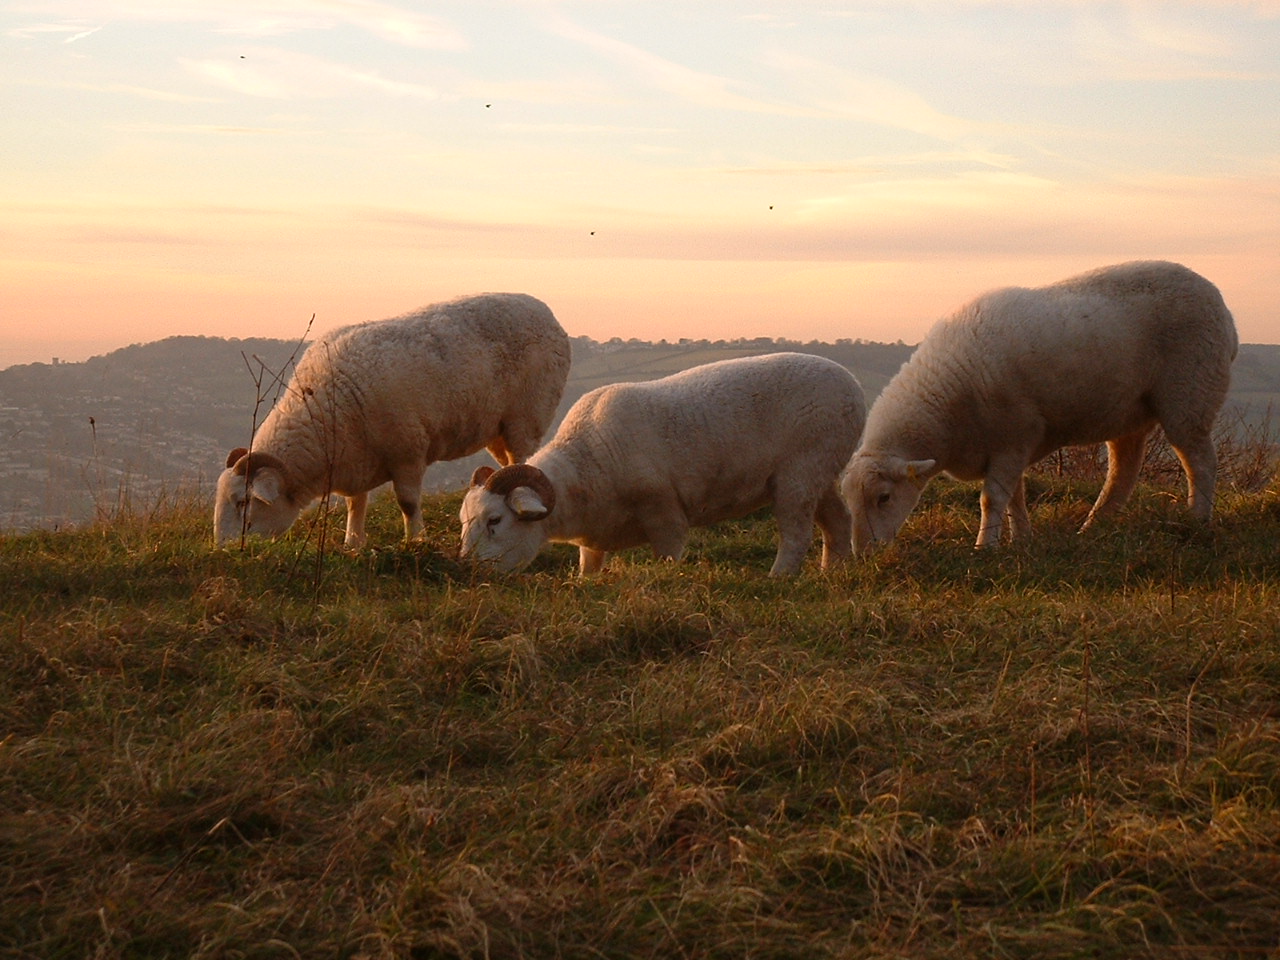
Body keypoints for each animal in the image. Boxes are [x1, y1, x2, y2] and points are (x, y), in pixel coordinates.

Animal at [214, 292, 570, 547]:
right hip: (495, 430)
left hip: (526, 418)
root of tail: (547, 312)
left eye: (243, 501)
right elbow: (355, 503)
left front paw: (415, 540)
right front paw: (353, 542)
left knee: (524, 459)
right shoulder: (354, 460)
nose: (226, 550)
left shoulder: (408, 452)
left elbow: (408, 503)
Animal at [458, 352, 866, 576]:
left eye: (495, 521)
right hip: (821, 470)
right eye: (464, 522)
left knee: (797, 534)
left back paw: (779, 577)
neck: (586, 460)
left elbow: (668, 556)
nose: (469, 569)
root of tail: (854, 386)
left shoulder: (665, 514)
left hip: (800, 470)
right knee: (837, 521)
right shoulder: (594, 538)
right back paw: (835, 571)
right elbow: (588, 566)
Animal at [841, 260, 1238, 552]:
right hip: (1130, 412)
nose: (864, 554)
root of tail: (1224, 310)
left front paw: (985, 547)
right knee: (1123, 471)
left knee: (1200, 462)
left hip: (1190, 393)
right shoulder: (1006, 448)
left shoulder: (1014, 436)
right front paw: (1021, 539)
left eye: (883, 497)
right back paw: (1093, 527)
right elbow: (1014, 496)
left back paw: (1197, 520)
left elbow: (992, 499)